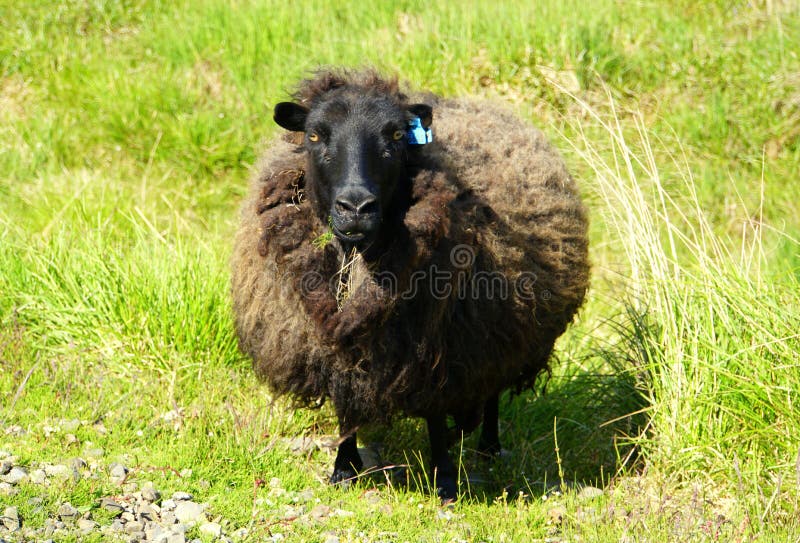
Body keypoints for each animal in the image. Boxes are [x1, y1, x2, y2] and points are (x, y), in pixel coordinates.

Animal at [231, 69, 589, 501]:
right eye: (314, 135)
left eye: (398, 135)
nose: (356, 208)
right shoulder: (333, 340)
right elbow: (344, 404)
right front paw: (343, 469)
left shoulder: (439, 345)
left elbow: (435, 414)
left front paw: (446, 480)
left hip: (497, 331)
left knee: (492, 388)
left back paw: (489, 447)